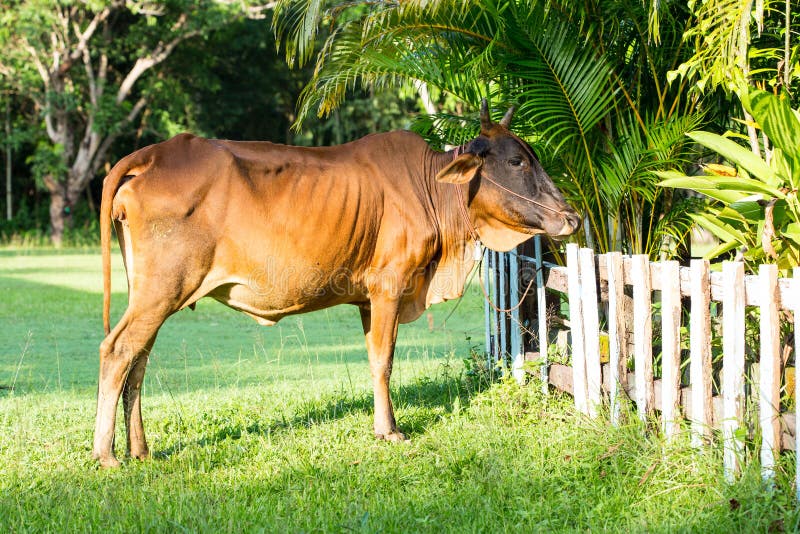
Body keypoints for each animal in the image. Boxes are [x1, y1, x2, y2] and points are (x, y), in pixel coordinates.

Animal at [93, 100, 581, 467]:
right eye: (516, 161)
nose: (572, 217)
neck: (434, 191)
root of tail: (153, 154)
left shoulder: (367, 300)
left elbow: (373, 360)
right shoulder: (389, 287)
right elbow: (384, 362)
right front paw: (389, 431)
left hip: (153, 293)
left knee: (138, 359)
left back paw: (140, 450)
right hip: (162, 290)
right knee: (118, 350)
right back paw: (106, 454)